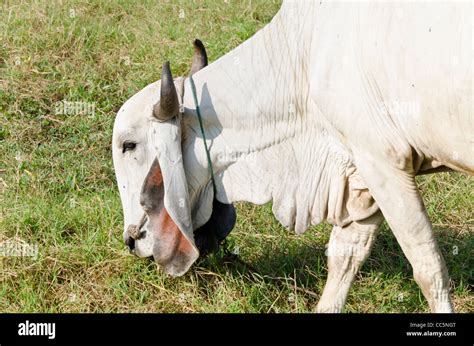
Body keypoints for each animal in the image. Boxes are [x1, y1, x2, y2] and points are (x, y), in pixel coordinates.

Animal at [113, 0, 472, 314]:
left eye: (129, 145)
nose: (131, 240)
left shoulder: (386, 165)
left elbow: (427, 267)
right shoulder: (360, 174)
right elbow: (345, 257)